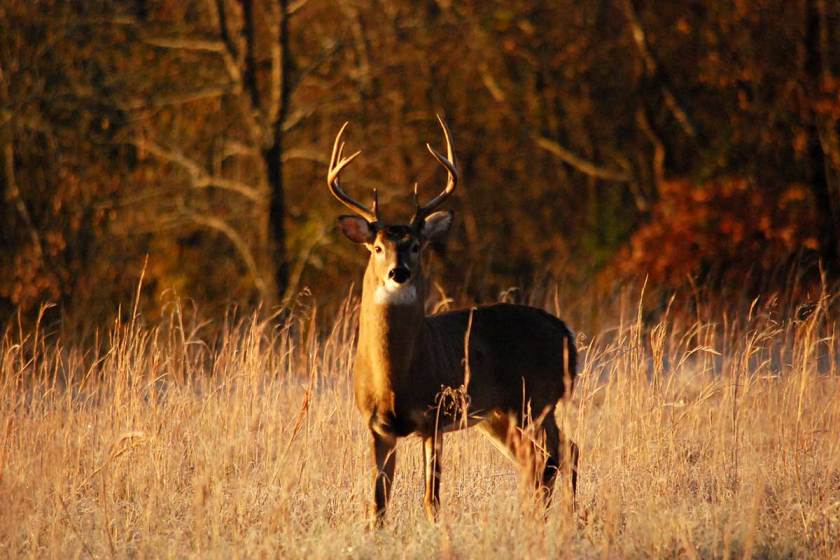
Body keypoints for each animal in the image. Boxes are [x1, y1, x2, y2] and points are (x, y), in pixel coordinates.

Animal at [328, 116, 579, 528]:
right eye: (377, 247)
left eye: (416, 246)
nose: (399, 272)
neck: (395, 379)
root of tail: (566, 331)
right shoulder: (376, 426)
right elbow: (379, 502)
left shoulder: (434, 415)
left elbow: (432, 497)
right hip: (502, 414)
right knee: (541, 459)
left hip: (537, 399)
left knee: (559, 455)